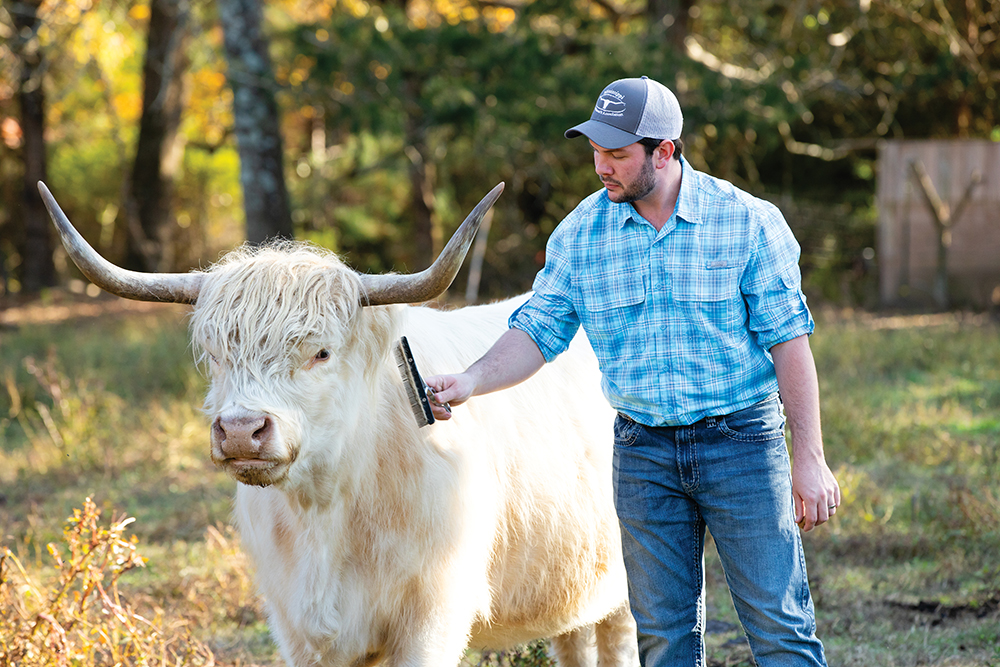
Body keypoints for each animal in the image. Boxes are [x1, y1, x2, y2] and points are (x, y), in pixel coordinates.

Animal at [38, 182, 639, 667]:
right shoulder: (298, 628)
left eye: (321, 352)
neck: (326, 513)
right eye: (214, 354)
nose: (241, 431)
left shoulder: (432, 617)